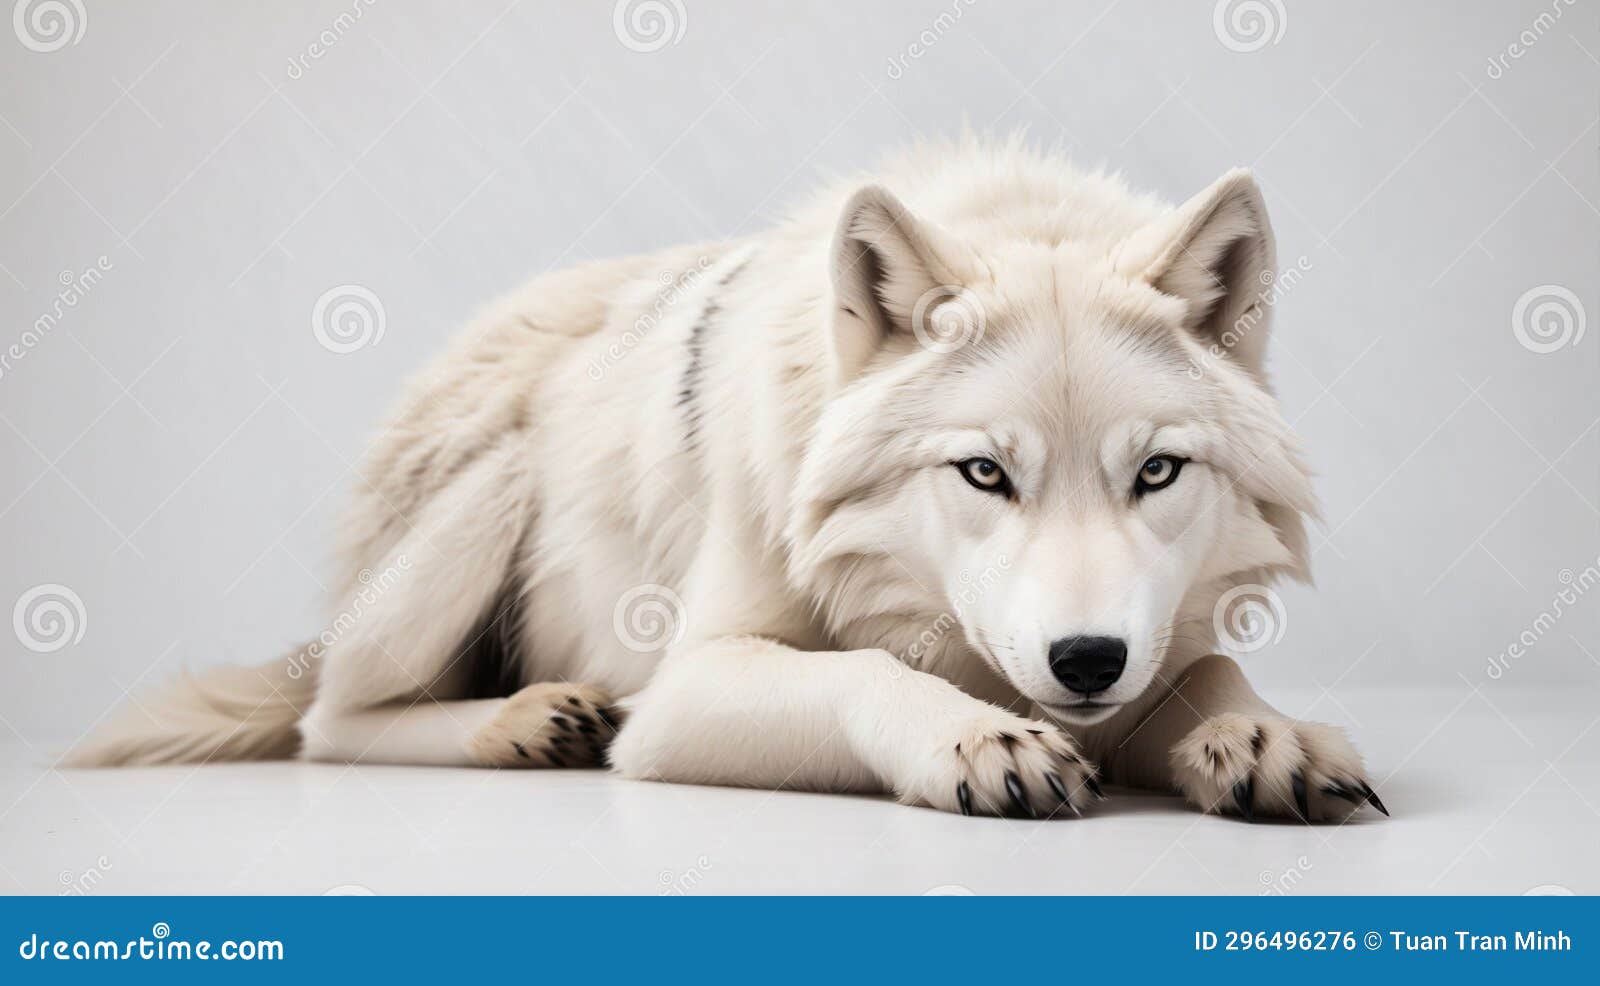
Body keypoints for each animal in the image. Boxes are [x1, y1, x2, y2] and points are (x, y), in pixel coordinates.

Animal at [71, 138, 1387, 822]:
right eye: (982, 472)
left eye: (1157, 471)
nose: (1084, 659)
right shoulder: (688, 686)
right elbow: (862, 672)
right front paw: (972, 738)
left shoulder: (1147, 640)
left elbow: (1202, 671)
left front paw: (1258, 734)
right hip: (490, 495)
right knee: (331, 722)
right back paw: (527, 720)